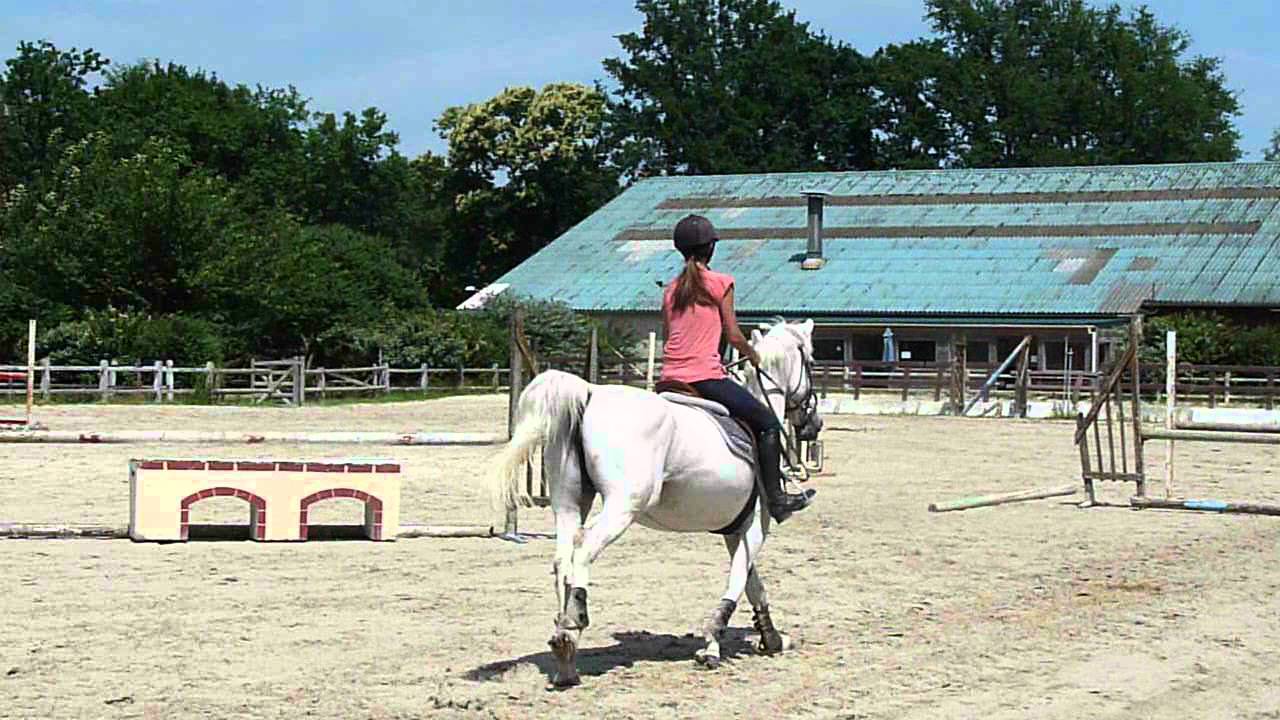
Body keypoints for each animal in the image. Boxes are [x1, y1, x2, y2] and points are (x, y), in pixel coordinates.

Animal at [489, 319, 822, 686]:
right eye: (812, 361)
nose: (814, 425)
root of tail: (590, 394)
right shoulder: (755, 526)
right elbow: (739, 580)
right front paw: (713, 643)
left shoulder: (734, 530)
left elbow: (753, 584)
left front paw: (771, 637)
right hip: (624, 506)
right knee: (583, 549)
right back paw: (575, 618)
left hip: (569, 503)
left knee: (563, 560)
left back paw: (566, 652)